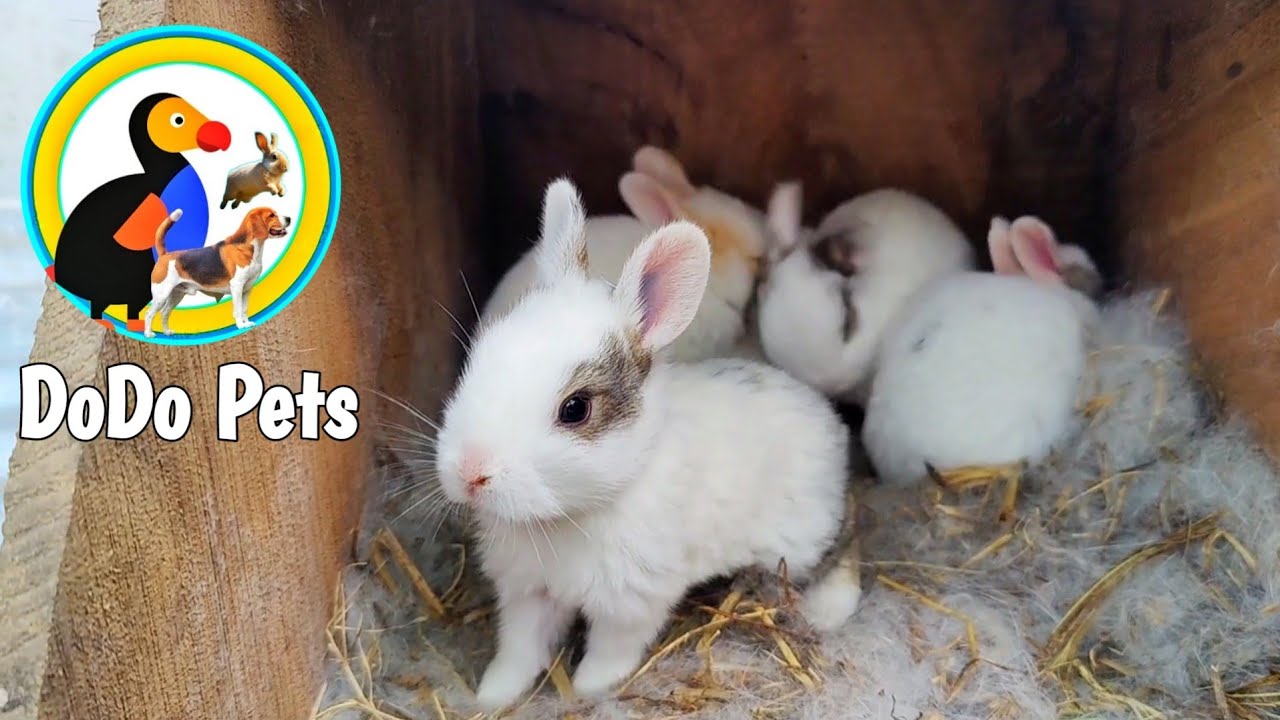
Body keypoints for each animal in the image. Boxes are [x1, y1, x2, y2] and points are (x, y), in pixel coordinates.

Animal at [436, 179, 862, 710]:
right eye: (478, 361)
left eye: (575, 409)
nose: (470, 471)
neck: (570, 515)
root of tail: (829, 421)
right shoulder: (528, 594)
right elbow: (520, 650)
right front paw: (492, 696)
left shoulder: (631, 603)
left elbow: (610, 652)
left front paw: (588, 689)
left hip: (800, 542)